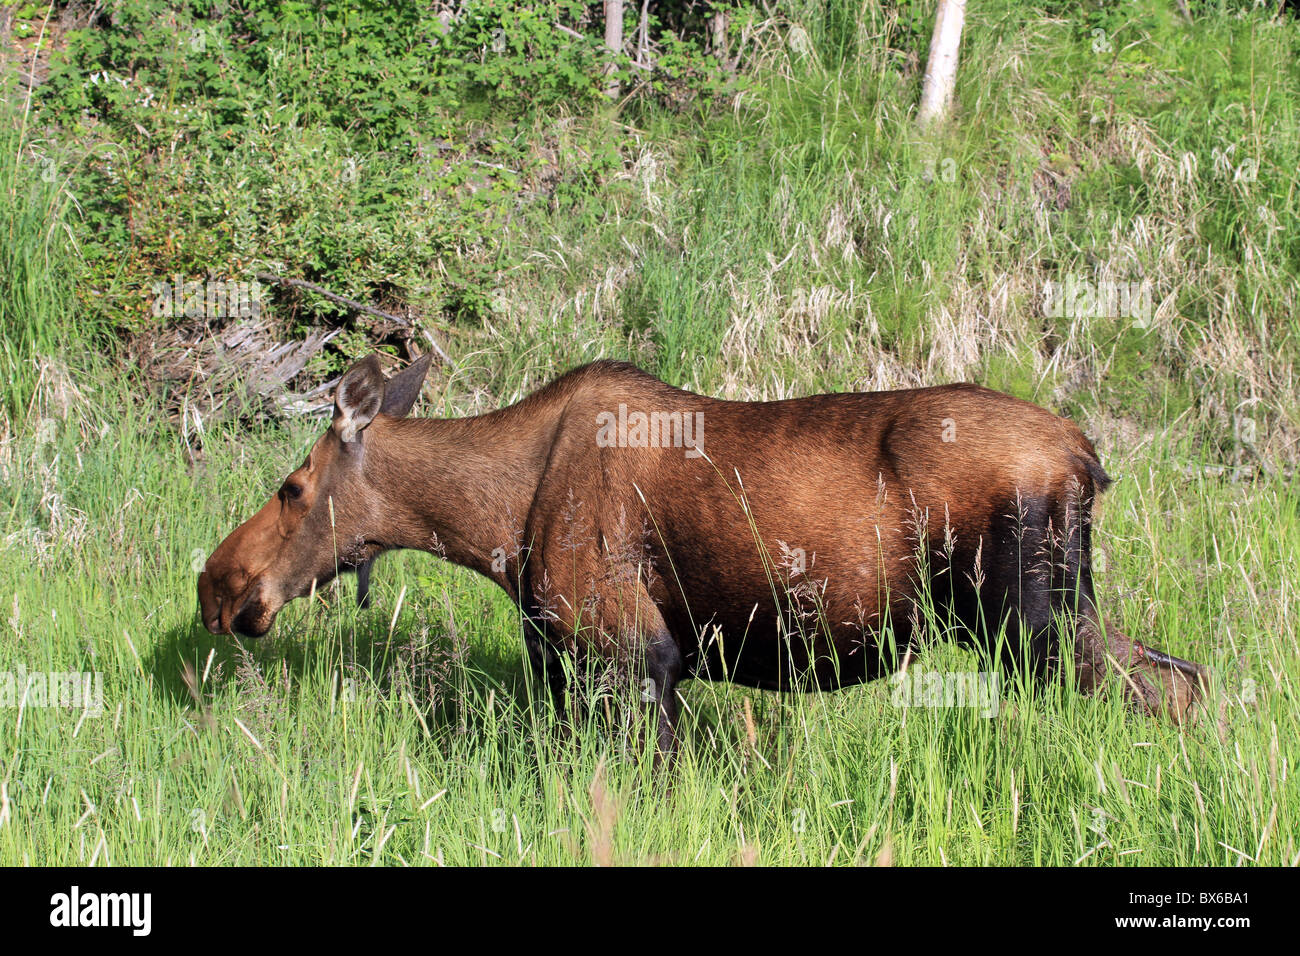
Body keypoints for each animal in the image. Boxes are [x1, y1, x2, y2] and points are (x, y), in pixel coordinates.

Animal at [198, 354, 1207, 755]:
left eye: (291, 488)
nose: (216, 583)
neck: (493, 523)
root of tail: (1088, 456)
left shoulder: (635, 652)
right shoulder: (589, 660)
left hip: (1027, 619)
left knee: (1166, 690)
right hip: (1059, 612)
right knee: (1188, 679)